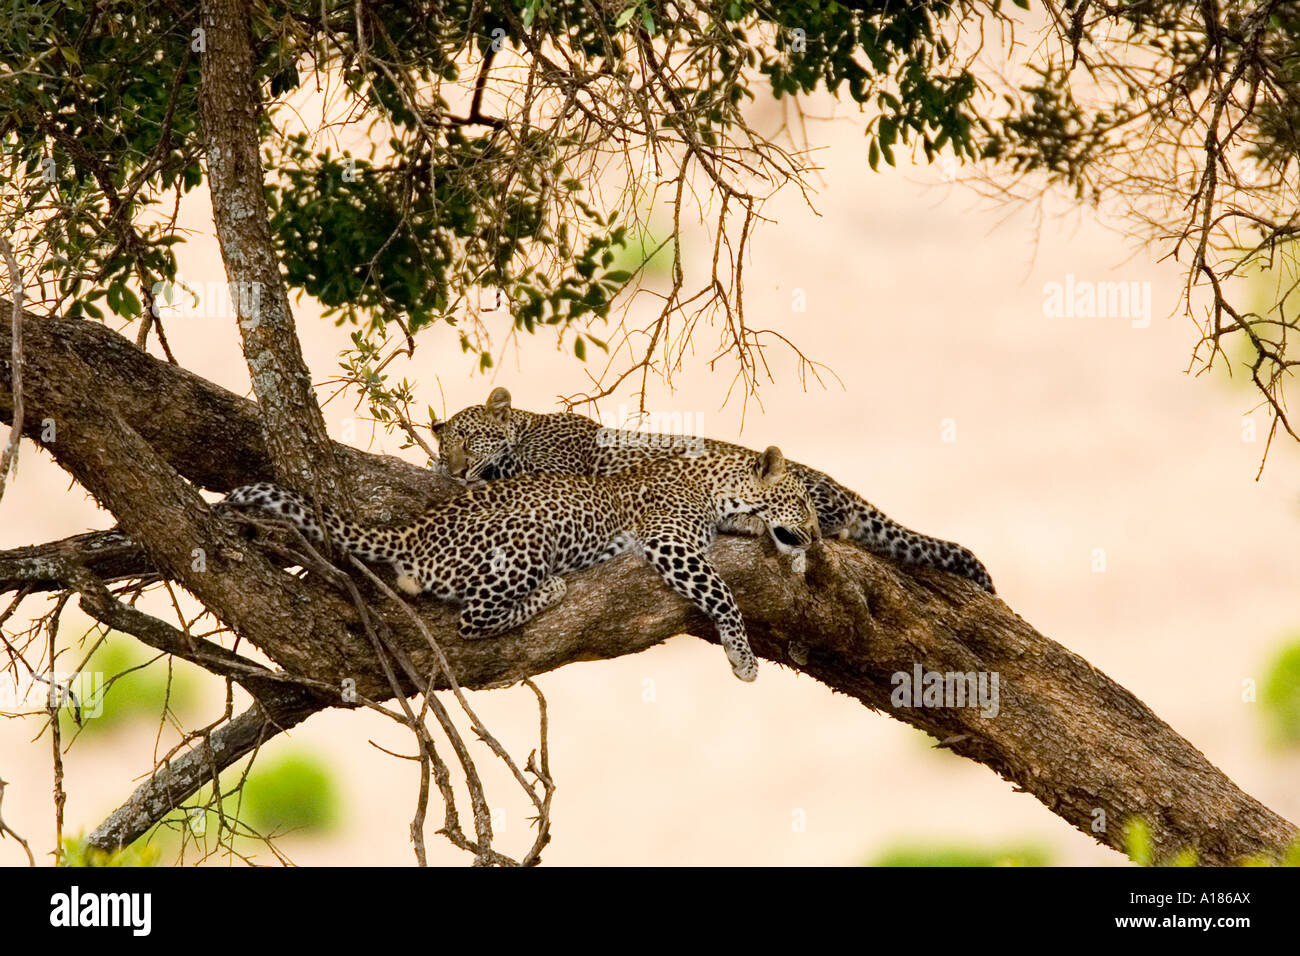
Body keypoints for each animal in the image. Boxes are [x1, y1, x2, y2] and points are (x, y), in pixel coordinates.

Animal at [218, 445, 820, 682]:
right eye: (802, 501)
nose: (816, 535)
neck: (715, 485)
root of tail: (411, 532)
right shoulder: (671, 542)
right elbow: (723, 594)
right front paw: (744, 659)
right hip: (530, 534)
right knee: (471, 619)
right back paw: (548, 591)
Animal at [433, 387, 995, 593]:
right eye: (447, 442)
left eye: (469, 437)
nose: (453, 466)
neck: (527, 425)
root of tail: (839, 484)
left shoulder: (561, 466)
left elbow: (509, 470)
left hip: (809, 502)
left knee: (821, 528)